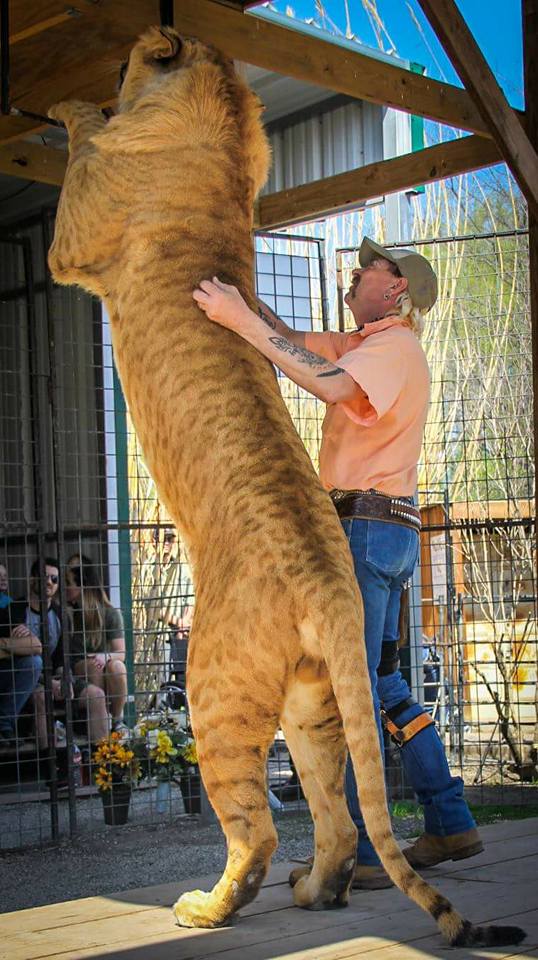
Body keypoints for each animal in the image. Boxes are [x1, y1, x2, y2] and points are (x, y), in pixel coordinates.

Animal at [47, 26, 524, 947]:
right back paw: (319, 889)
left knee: (259, 828)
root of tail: (332, 585)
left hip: (214, 688)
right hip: (315, 701)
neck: (220, 136)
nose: (122, 56)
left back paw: (210, 906)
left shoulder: (76, 239)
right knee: (335, 818)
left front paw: (69, 103)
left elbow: (84, 142)